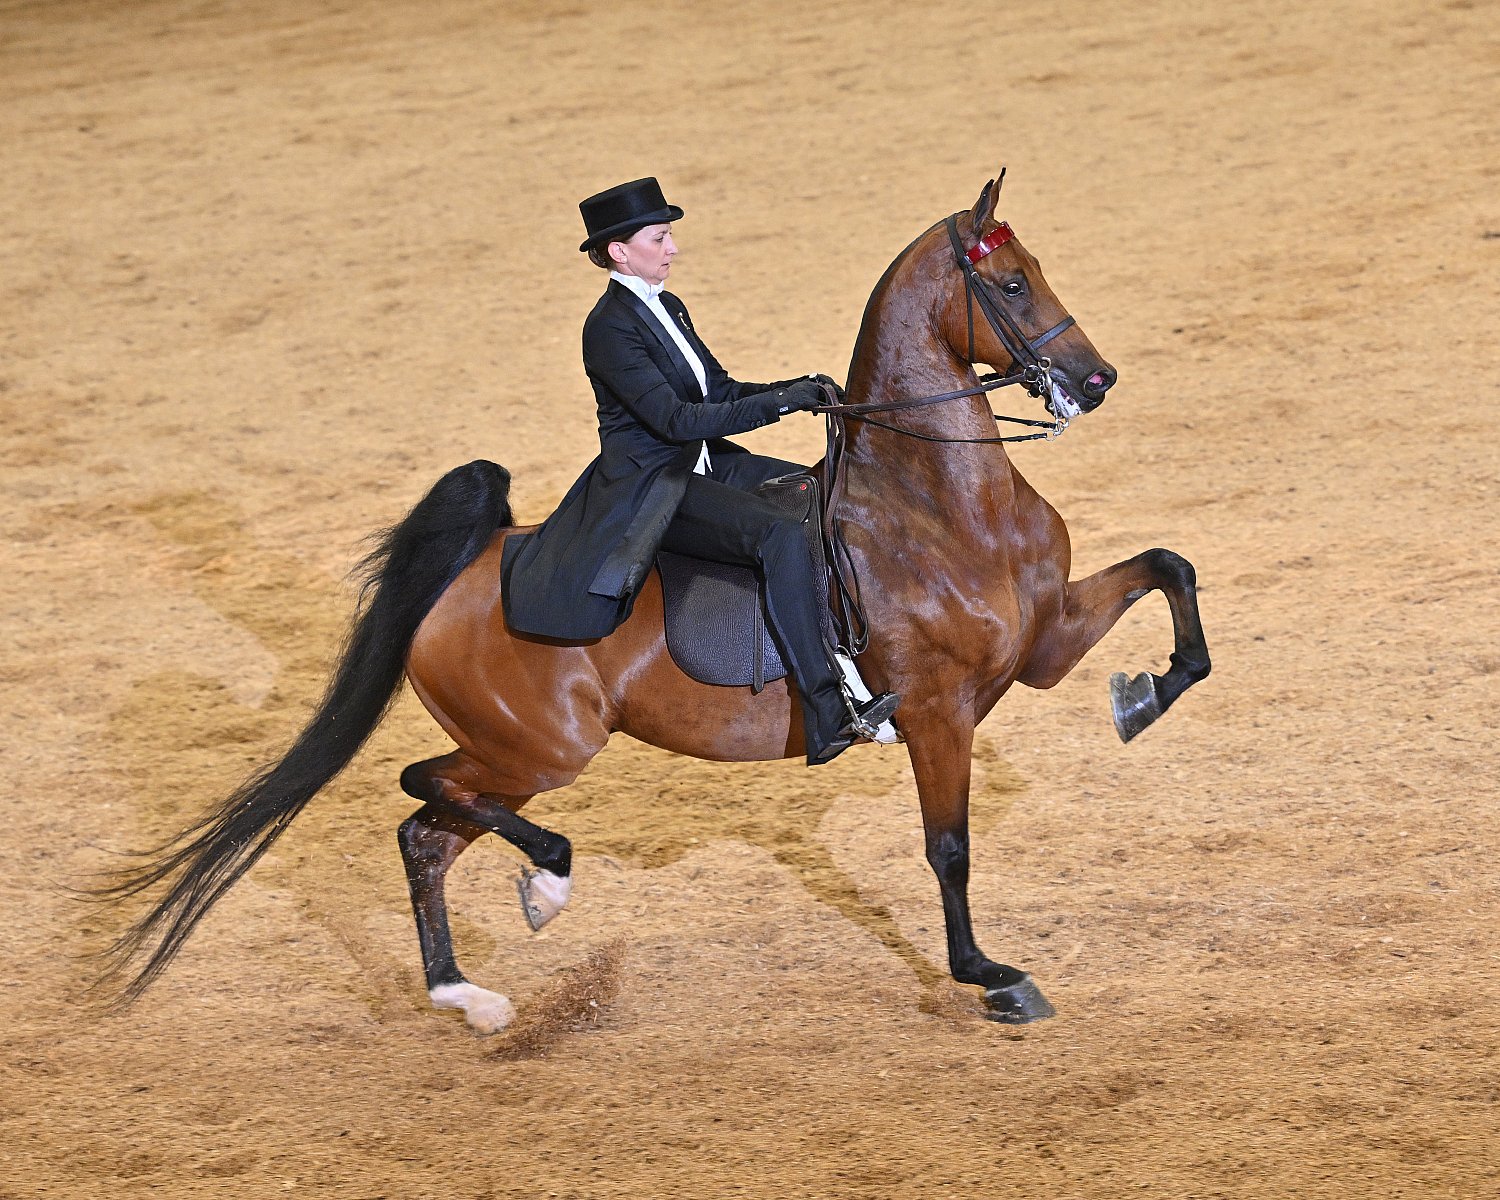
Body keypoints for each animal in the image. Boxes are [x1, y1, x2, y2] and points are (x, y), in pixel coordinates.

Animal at [97, 168, 1211, 1030]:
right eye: (1012, 283)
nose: (1096, 381)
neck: (940, 502)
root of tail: (471, 565)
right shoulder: (939, 711)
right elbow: (950, 850)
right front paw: (990, 976)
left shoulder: (1041, 645)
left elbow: (1172, 570)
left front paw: (1144, 695)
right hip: (539, 750)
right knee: (425, 790)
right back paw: (546, 882)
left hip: (523, 761)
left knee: (424, 835)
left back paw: (470, 997)